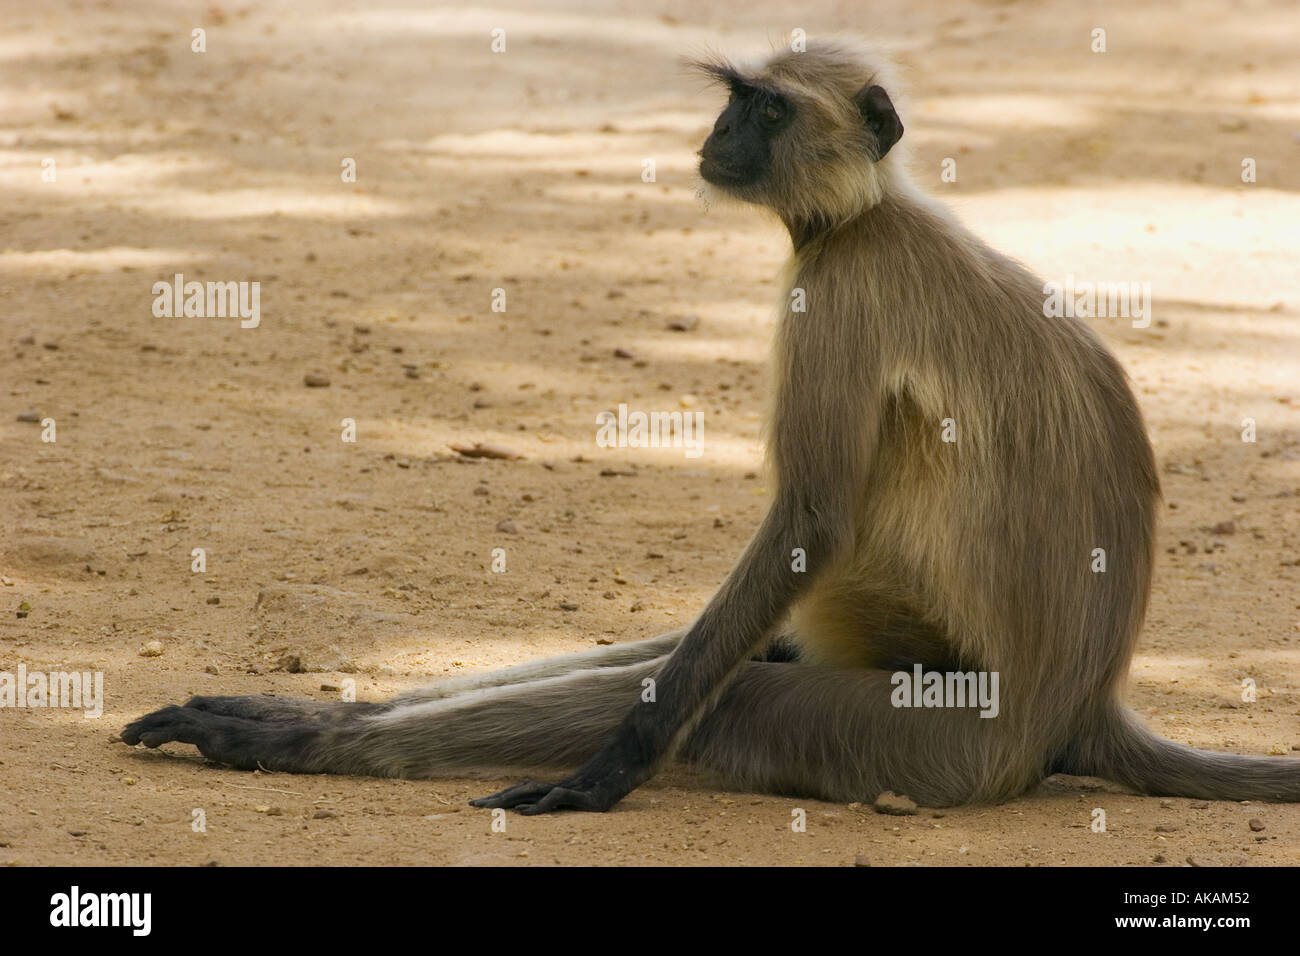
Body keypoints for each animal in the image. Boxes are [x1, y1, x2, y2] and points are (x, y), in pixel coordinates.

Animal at [122, 38, 1300, 813]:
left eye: (769, 111)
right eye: (739, 104)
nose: (719, 132)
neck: (865, 216)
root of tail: (1080, 705)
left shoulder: (837, 292)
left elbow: (811, 522)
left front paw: (611, 770)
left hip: (944, 739)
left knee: (740, 700)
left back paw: (301, 745)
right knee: (724, 653)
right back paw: (292, 723)